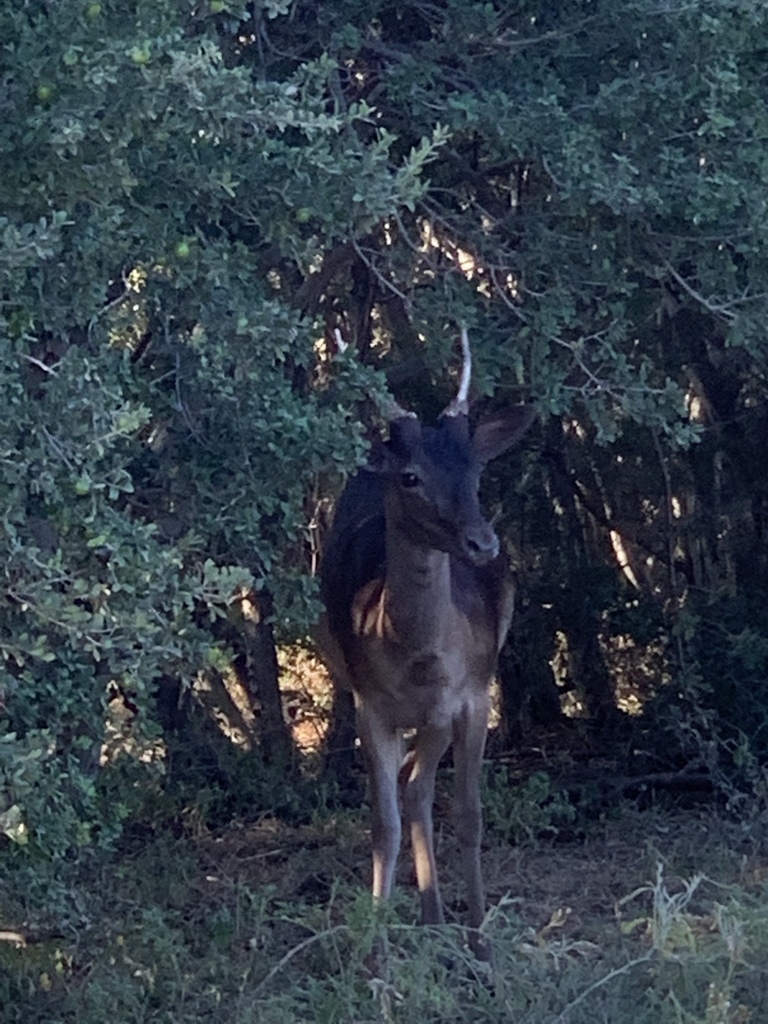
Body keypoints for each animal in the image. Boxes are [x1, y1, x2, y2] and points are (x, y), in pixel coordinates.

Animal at [318, 329, 534, 957]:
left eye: (477, 469)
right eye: (411, 476)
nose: (482, 542)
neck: (418, 658)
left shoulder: (473, 695)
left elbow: (469, 814)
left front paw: (482, 946)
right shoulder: (371, 705)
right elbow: (383, 827)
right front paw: (376, 962)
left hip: (448, 708)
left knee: (420, 788)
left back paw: (439, 921)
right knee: (413, 790)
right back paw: (429, 921)